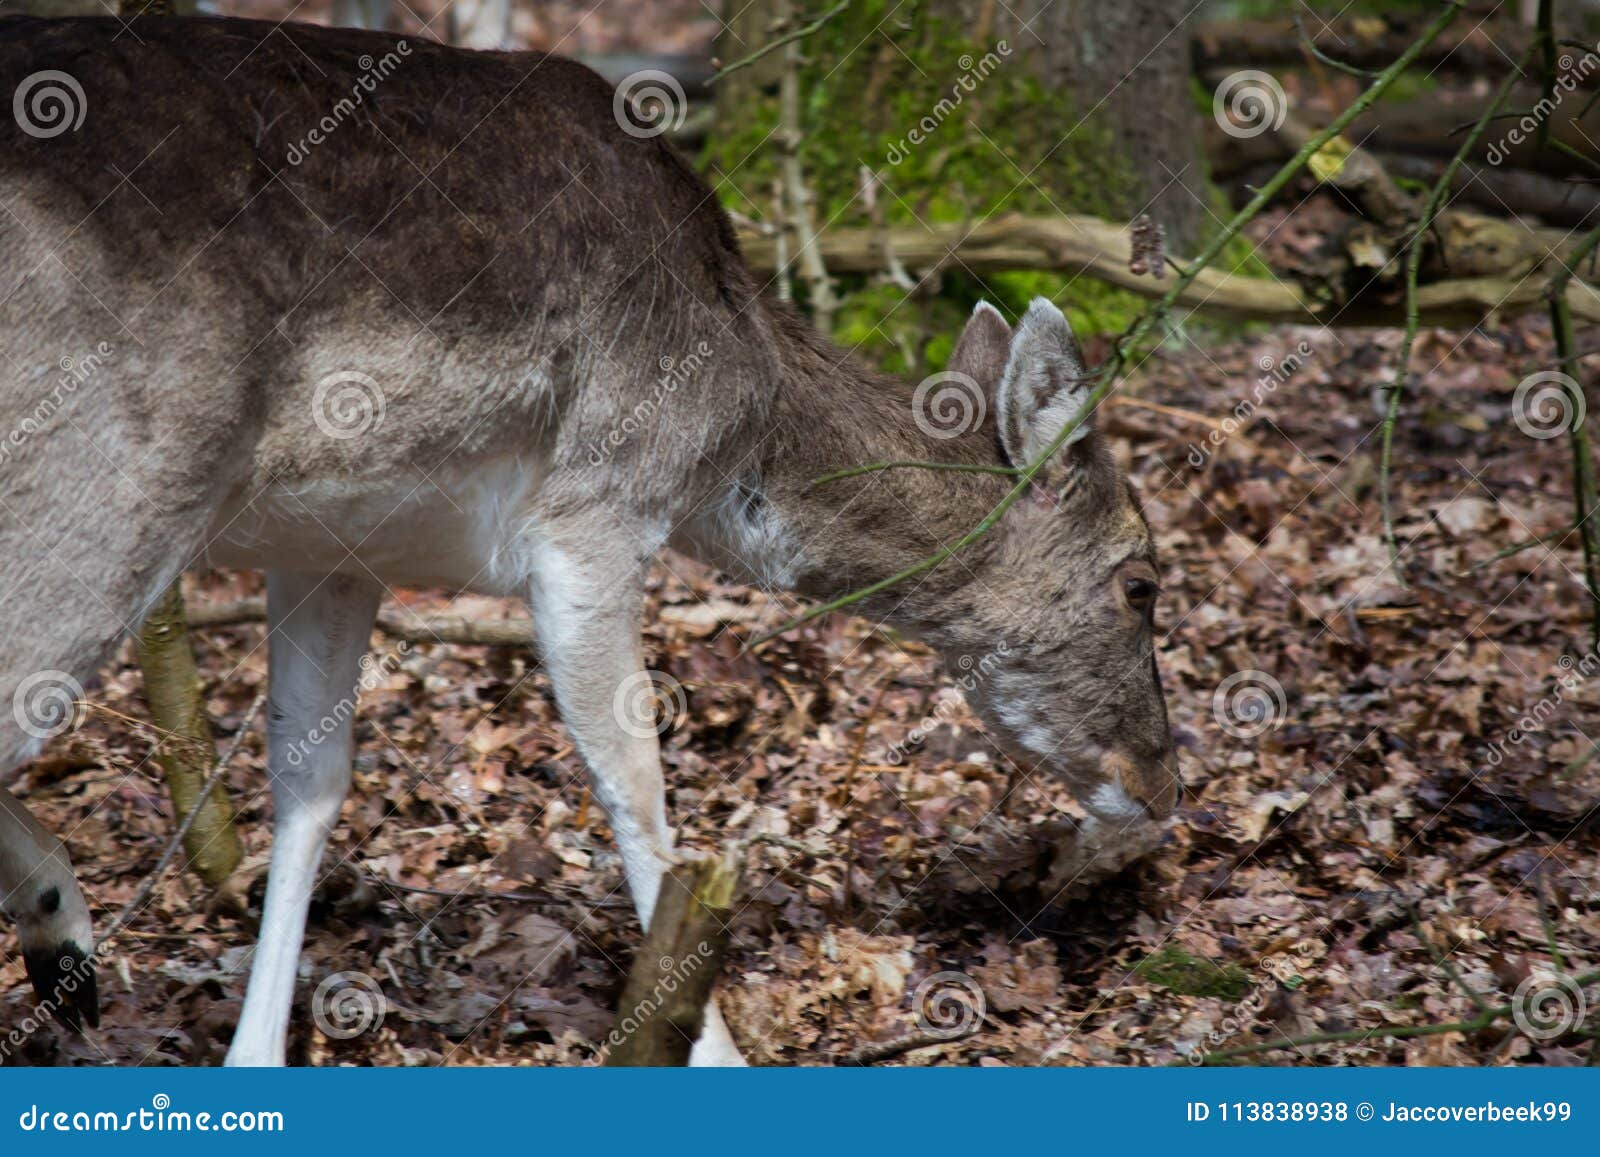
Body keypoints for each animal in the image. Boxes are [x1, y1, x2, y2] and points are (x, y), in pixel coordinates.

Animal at [0, 15, 1179, 1065]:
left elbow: (311, 781)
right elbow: (634, 775)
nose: (1163, 784)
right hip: (103, 487)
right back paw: (62, 924)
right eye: (1142, 582)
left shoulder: (332, 543)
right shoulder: (596, 506)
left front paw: (253, 1054)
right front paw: (714, 1052)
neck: (734, 419)